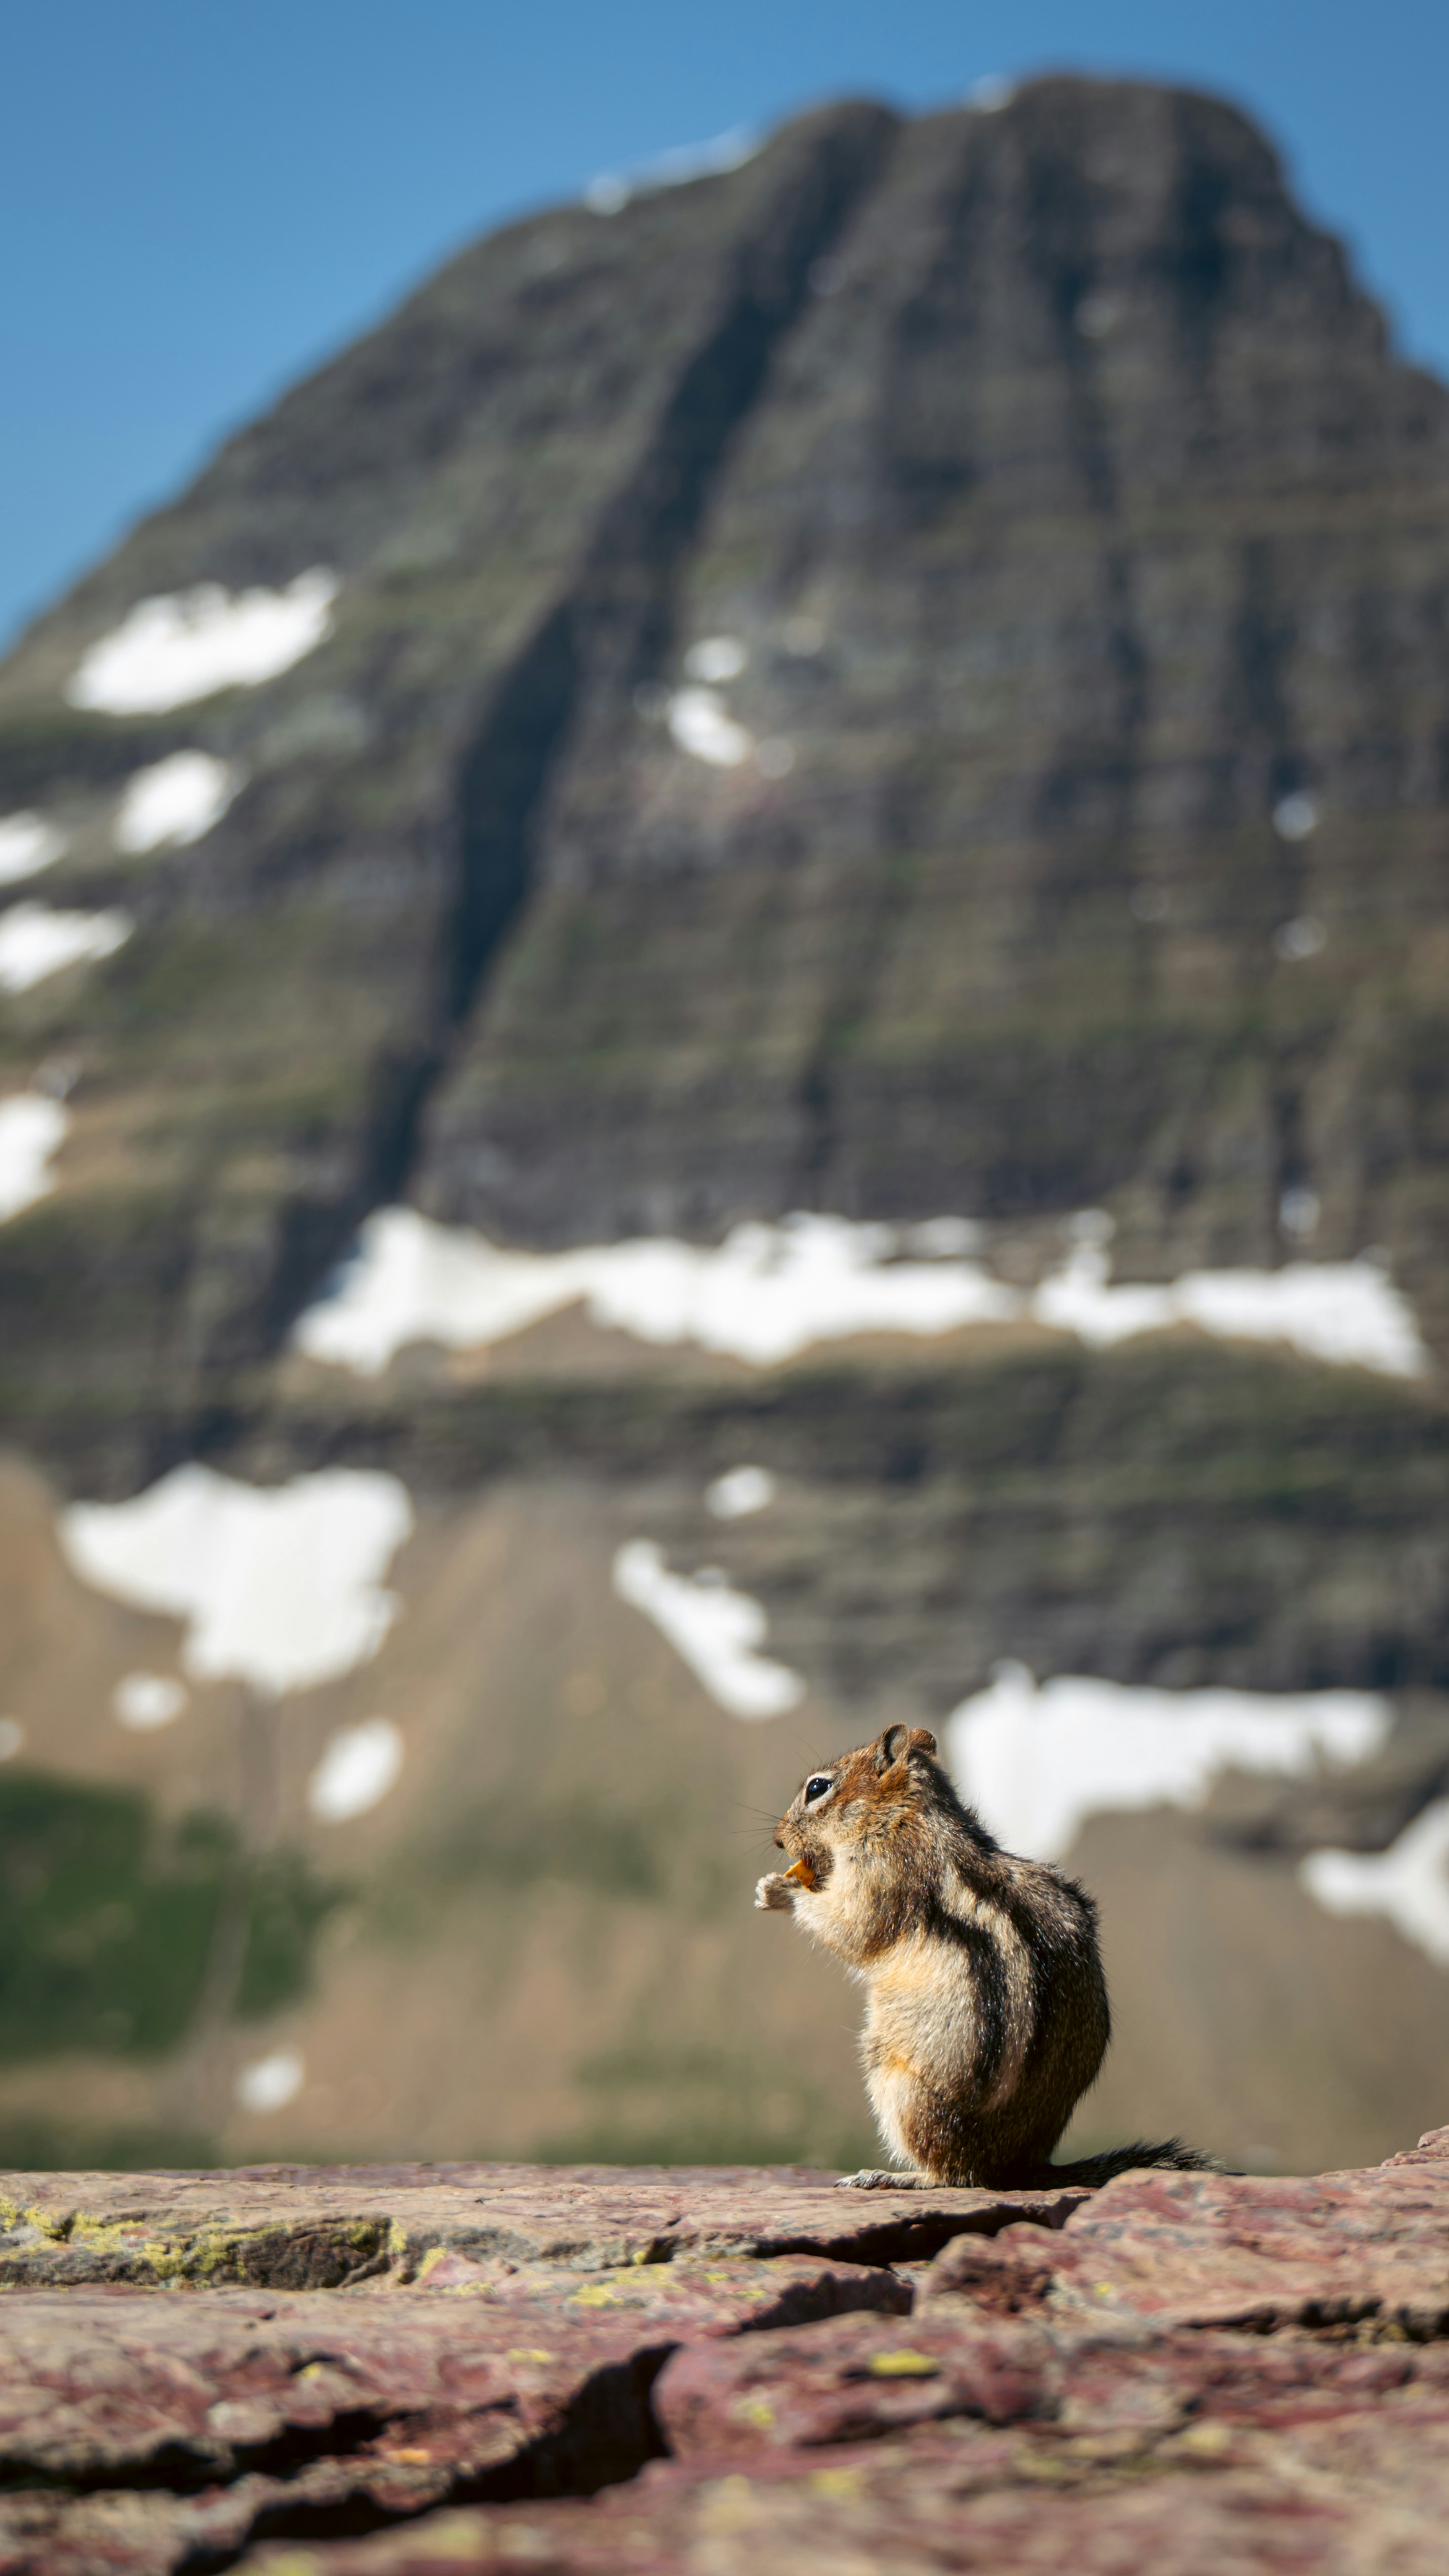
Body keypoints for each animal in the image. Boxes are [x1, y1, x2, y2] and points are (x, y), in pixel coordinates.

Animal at [756, 1722, 1212, 2191]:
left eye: (818, 1787)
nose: (778, 1838)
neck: (902, 1814)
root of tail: (1019, 2164)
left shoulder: (883, 1870)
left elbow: (853, 1925)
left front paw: (776, 1889)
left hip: (896, 2081)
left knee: (954, 2176)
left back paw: (889, 2176)